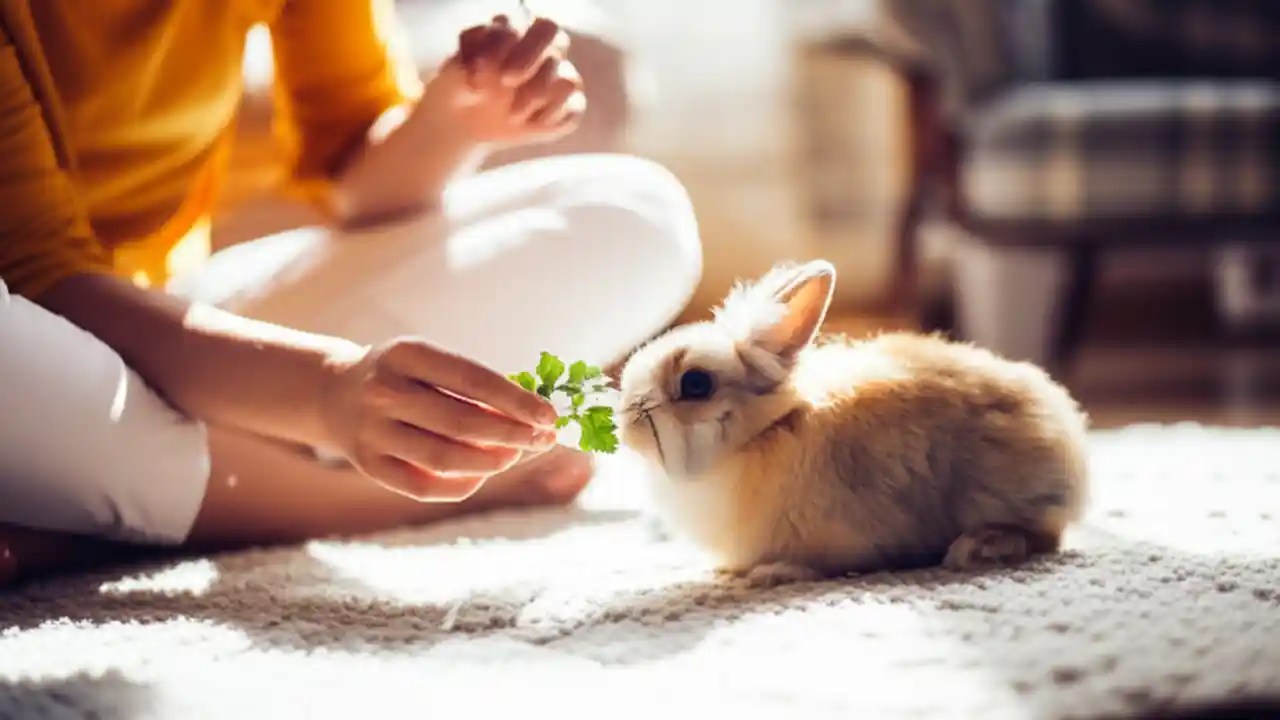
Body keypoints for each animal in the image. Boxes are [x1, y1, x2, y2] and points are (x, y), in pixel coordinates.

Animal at [616, 259, 1089, 585]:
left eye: (696, 384)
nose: (625, 420)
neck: (762, 433)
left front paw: (773, 574)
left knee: (1045, 536)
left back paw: (979, 548)